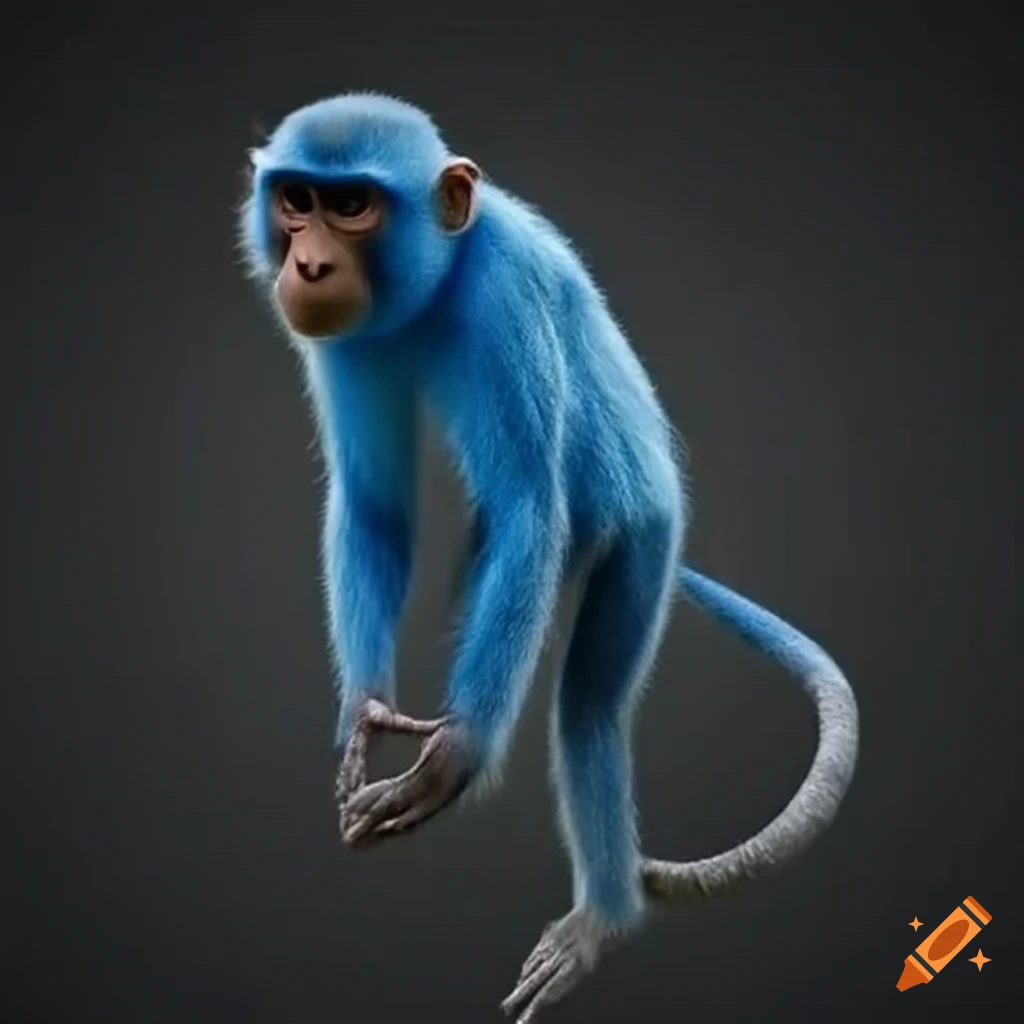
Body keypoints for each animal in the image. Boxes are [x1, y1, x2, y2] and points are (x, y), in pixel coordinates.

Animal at [238, 93, 859, 1022]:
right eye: (296, 201)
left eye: (351, 206)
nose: (308, 265)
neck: (442, 275)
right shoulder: (348, 338)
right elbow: (376, 503)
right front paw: (368, 711)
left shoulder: (507, 291)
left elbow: (532, 505)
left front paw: (456, 754)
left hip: (648, 529)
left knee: (589, 704)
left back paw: (601, 917)